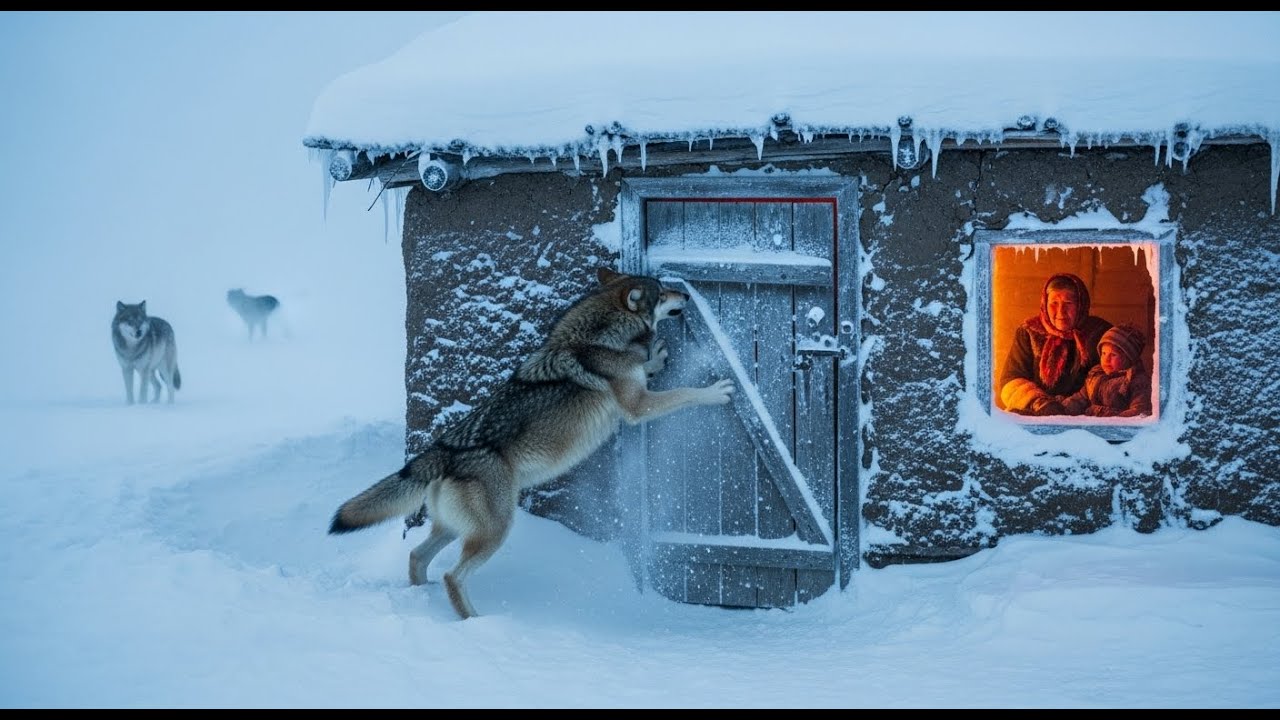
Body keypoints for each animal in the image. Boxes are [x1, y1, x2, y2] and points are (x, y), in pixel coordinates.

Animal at [329, 267, 735, 620]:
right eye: (663, 292)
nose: (686, 294)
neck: (596, 335)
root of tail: (442, 449)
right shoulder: (637, 407)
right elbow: (684, 393)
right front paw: (716, 391)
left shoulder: (635, 391)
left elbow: (649, 371)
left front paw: (658, 358)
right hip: (495, 530)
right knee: (452, 576)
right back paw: (475, 623)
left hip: (452, 528)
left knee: (416, 555)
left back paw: (421, 598)